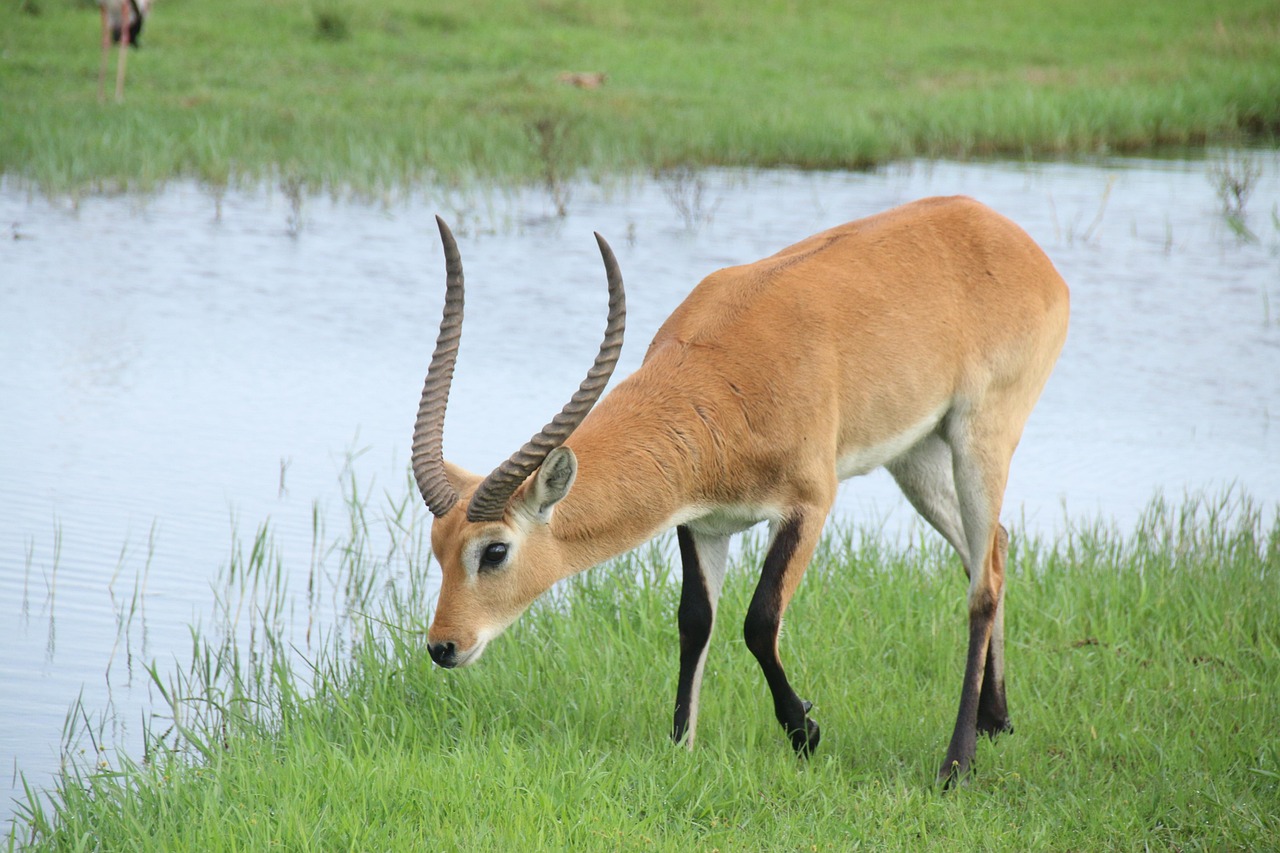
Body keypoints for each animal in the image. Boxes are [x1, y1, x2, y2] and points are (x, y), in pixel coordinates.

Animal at [411, 196, 1069, 783]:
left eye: (494, 550)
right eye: (438, 547)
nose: (443, 646)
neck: (721, 382)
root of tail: (1012, 239)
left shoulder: (810, 505)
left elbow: (758, 619)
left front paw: (806, 731)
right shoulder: (702, 522)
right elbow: (694, 619)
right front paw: (681, 747)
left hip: (981, 436)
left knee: (982, 584)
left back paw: (956, 765)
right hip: (918, 457)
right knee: (993, 548)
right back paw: (996, 721)